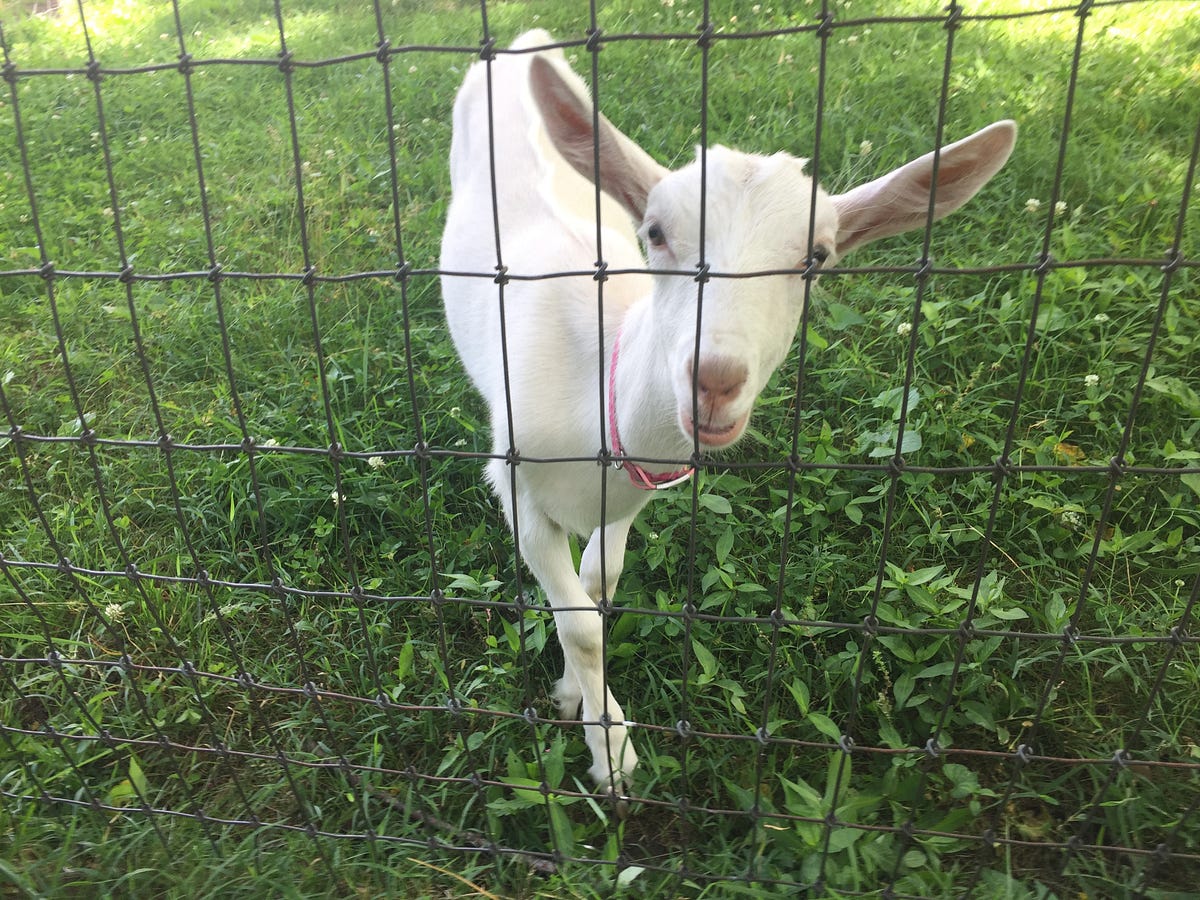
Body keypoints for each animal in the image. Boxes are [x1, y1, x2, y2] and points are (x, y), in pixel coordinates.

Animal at [439, 30, 1016, 795]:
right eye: (655, 232)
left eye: (817, 256)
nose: (715, 378)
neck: (599, 383)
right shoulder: (516, 486)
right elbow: (580, 624)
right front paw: (612, 753)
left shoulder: (624, 502)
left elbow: (597, 589)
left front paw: (573, 696)